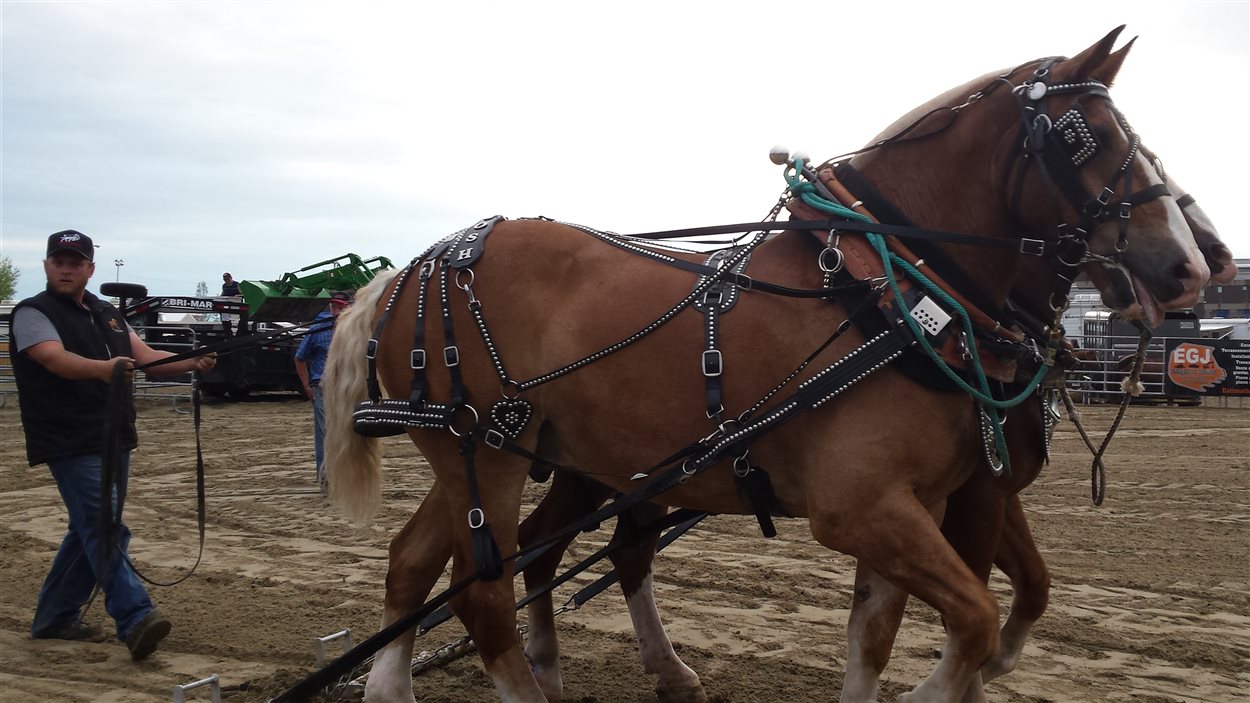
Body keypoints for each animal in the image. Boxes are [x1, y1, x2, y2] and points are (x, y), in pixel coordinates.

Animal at [325, 27, 1210, 702]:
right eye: (1087, 137)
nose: (1192, 267)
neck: (890, 291)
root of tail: (412, 267)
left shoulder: (915, 505)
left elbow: (877, 639)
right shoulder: (864, 507)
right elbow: (977, 621)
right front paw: (949, 686)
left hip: (499, 458)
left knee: (418, 562)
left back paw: (399, 687)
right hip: (488, 453)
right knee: (485, 596)